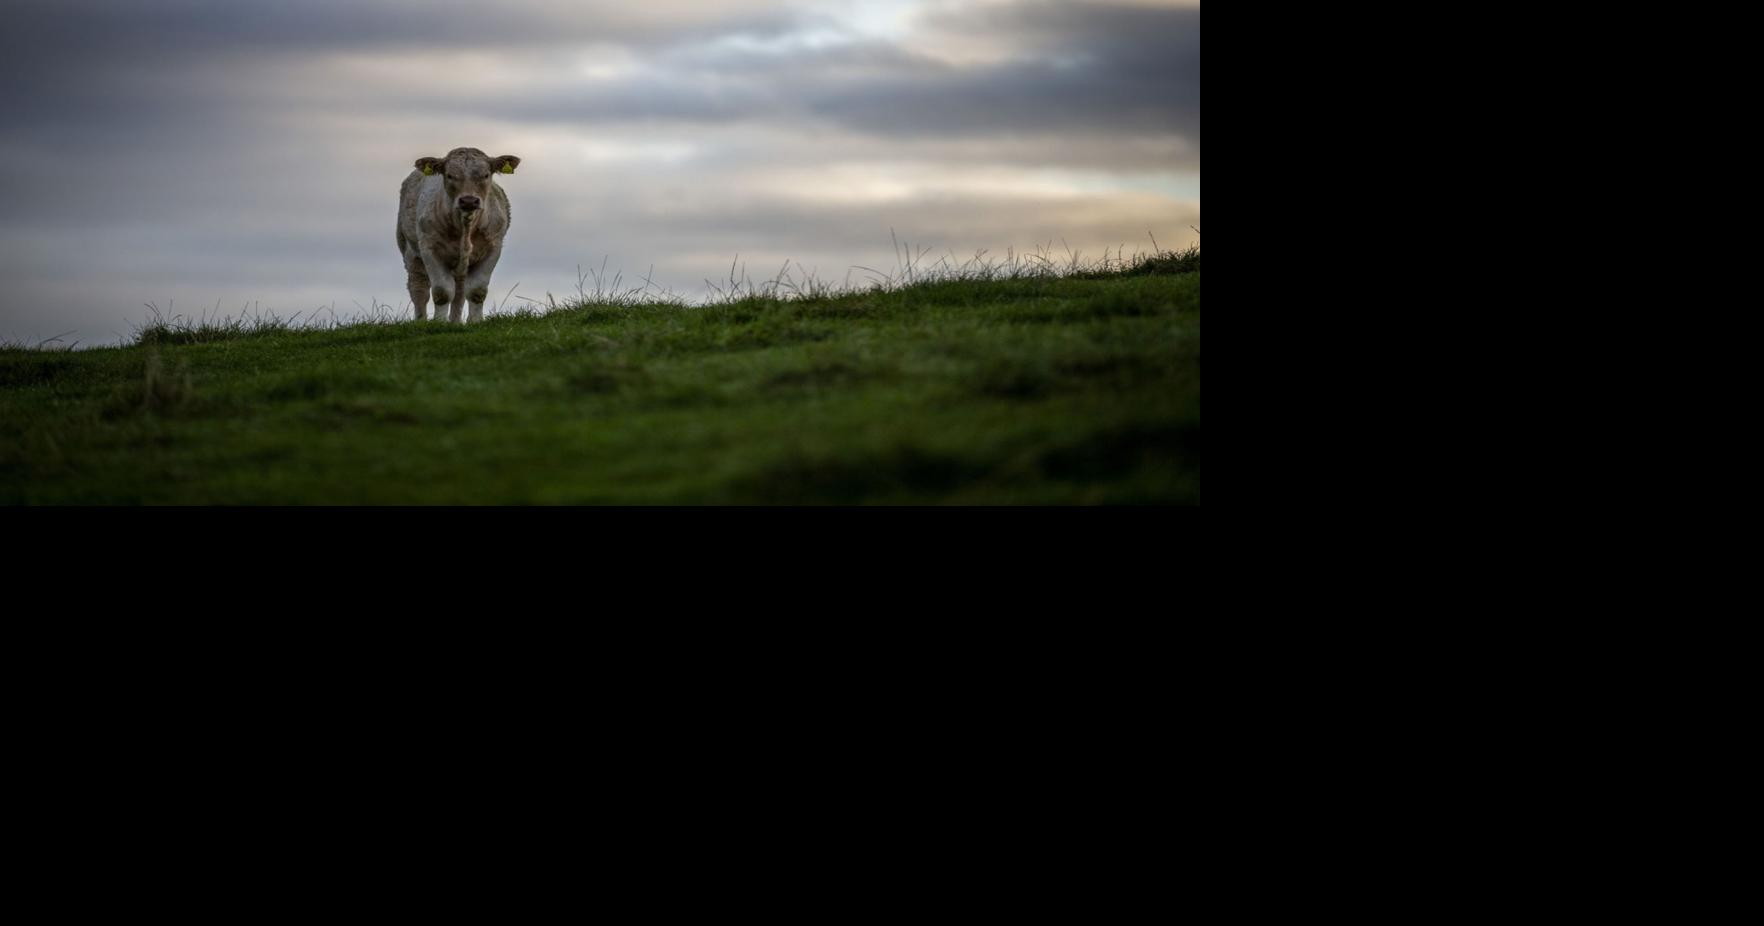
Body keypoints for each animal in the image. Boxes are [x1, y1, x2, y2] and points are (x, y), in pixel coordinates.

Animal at [396, 147, 521, 323]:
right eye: (449, 175)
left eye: (486, 175)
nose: (469, 200)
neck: (465, 227)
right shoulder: (429, 249)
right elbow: (441, 292)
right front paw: (439, 322)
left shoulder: (493, 248)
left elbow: (476, 291)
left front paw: (475, 321)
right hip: (410, 251)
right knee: (419, 289)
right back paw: (420, 321)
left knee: (460, 292)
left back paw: (455, 322)